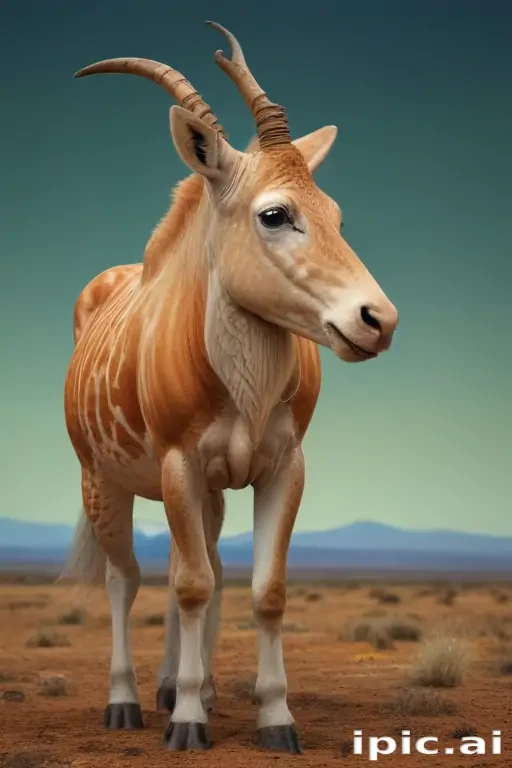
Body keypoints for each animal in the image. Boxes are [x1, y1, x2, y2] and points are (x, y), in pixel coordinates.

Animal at [63, 21, 398, 753]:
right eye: (275, 214)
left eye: (334, 213)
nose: (377, 320)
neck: (245, 388)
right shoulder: (178, 465)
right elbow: (188, 583)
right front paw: (187, 722)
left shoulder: (282, 468)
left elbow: (260, 588)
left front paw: (273, 718)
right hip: (104, 481)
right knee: (126, 579)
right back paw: (129, 701)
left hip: (209, 491)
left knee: (201, 567)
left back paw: (185, 689)